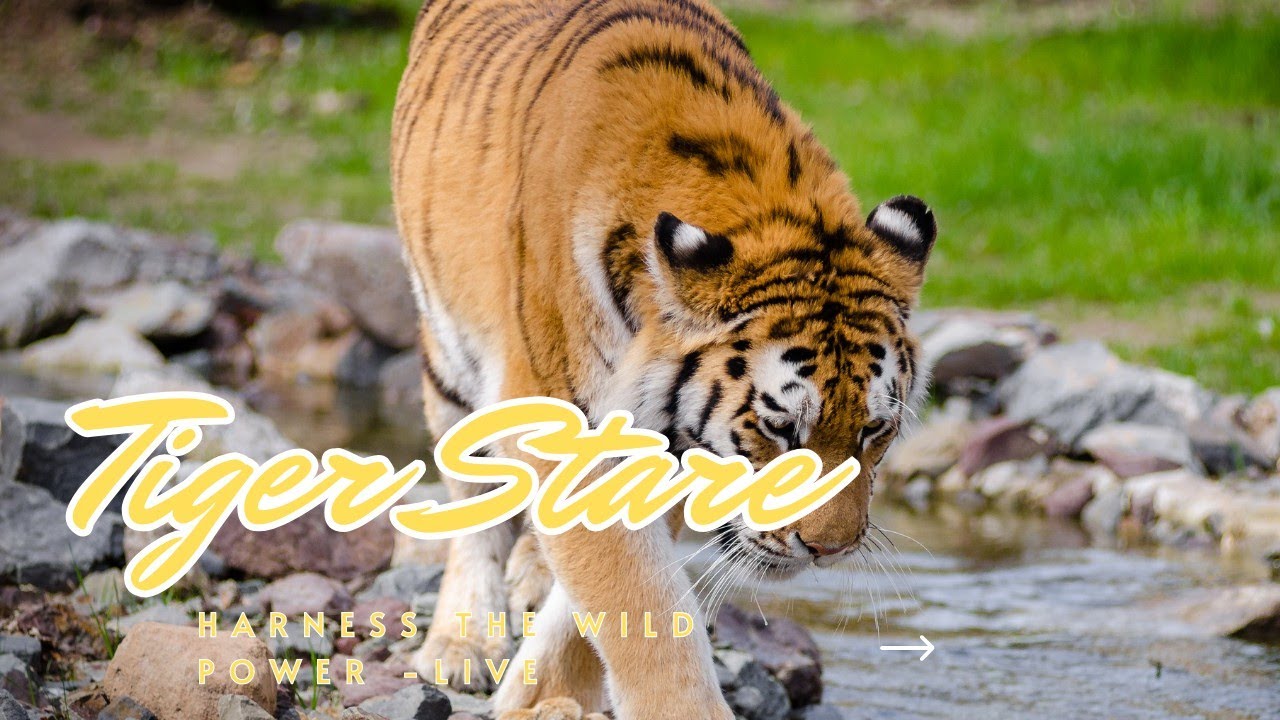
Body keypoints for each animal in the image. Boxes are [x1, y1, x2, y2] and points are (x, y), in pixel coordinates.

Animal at [390, 0, 937, 717]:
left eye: (875, 430)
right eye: (779, 430)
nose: (828, 550)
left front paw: (544, 692)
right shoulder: (567, 422)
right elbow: (638, 601)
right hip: (450, 360)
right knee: (472, 501)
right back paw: (462, 646)